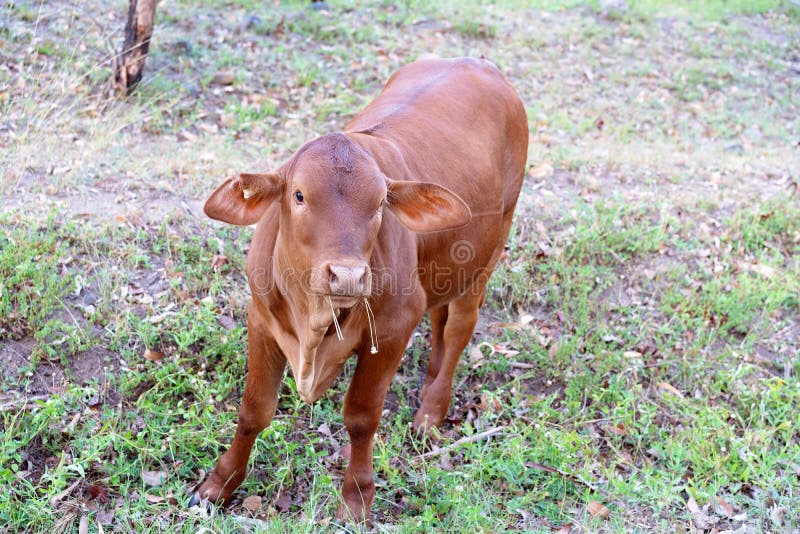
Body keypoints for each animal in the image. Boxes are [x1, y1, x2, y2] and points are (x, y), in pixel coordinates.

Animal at [190, 56, 528, 522]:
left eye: (382, 201)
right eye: (299, 195)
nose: (348, 275)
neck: (314, 319)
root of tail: (476, 61)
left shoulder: (392, 329)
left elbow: (362, 417)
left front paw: (356, 497)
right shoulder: (261, 319)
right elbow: (254, 409)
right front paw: (218, 485)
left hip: (488, 253)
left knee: (459, 326)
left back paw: (431, 410)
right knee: (440, 318)